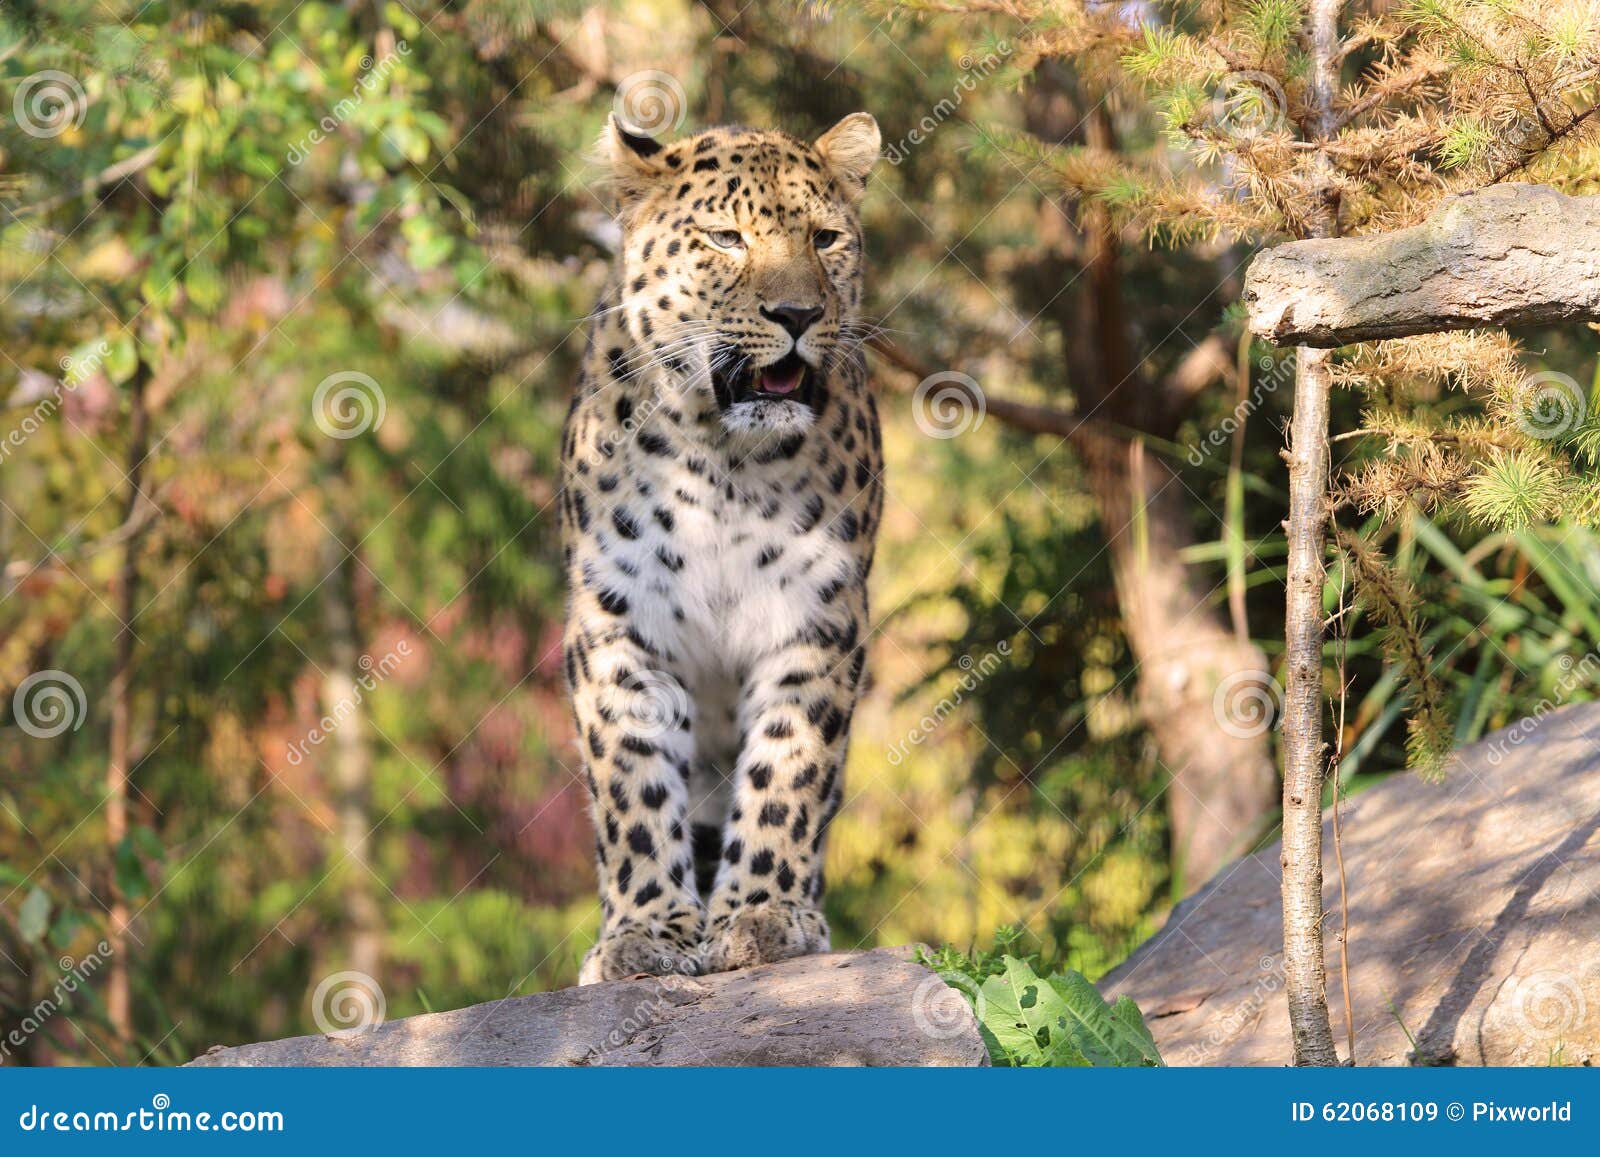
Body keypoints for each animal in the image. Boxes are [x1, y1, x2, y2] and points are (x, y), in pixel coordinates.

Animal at [559, 111, 884, 985]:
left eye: (826, 237)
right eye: (726, 238)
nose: (796, 314)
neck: (723, 464)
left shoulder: (818, 620)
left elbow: (788, 768)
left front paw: (764, 913)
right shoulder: (617, 622)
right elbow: (633, 783)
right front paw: (644, 930)